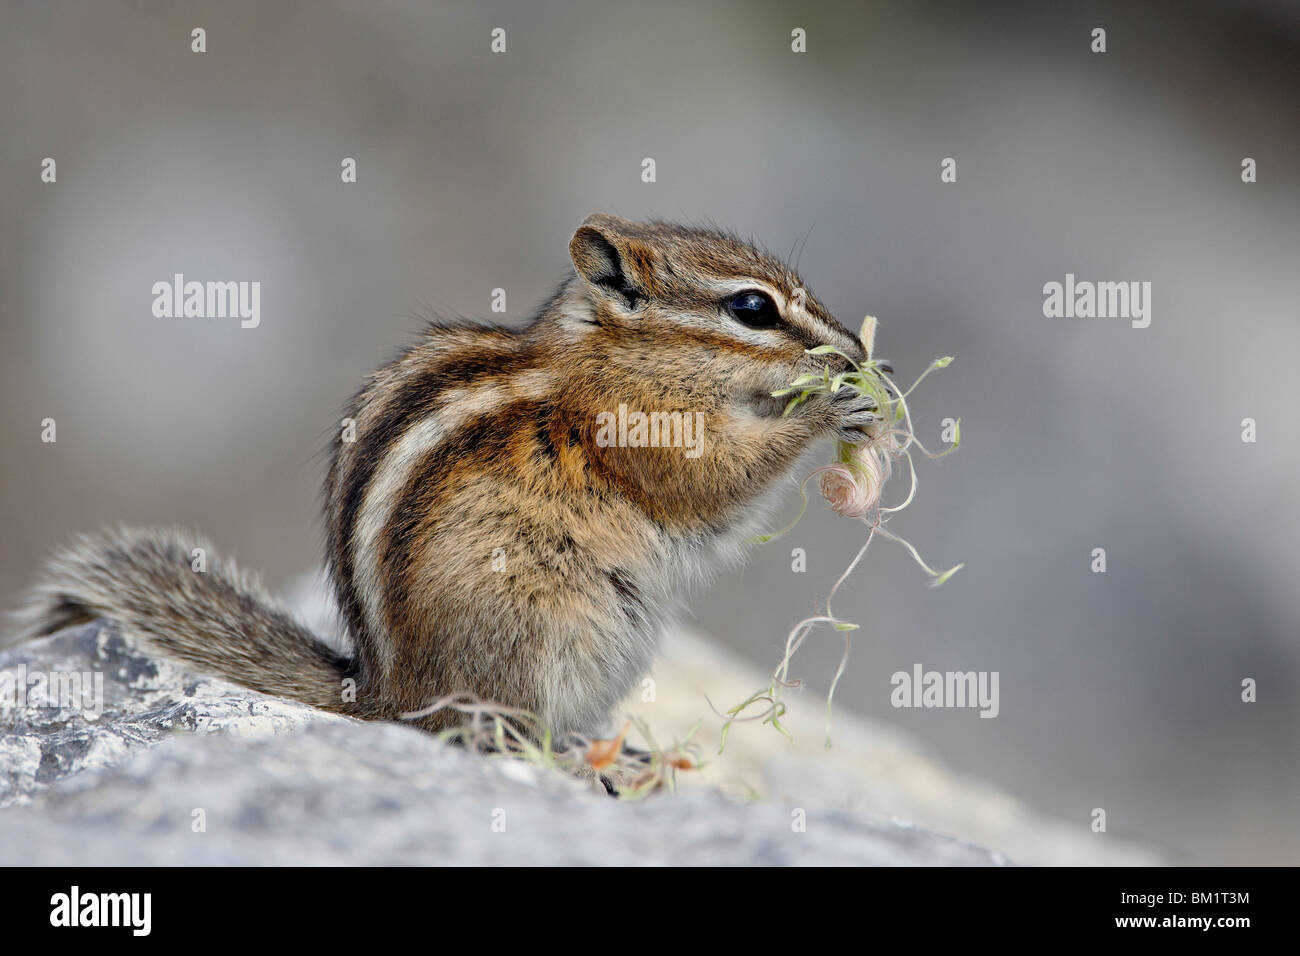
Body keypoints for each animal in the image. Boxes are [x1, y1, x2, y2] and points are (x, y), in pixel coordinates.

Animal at [9, 214, 878, 737]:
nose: (857, 352)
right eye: (752, 310)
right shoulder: (640, 431)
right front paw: (832, 410)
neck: (615, 357)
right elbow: (714, 483)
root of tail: (388, 699)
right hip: (537, 630)